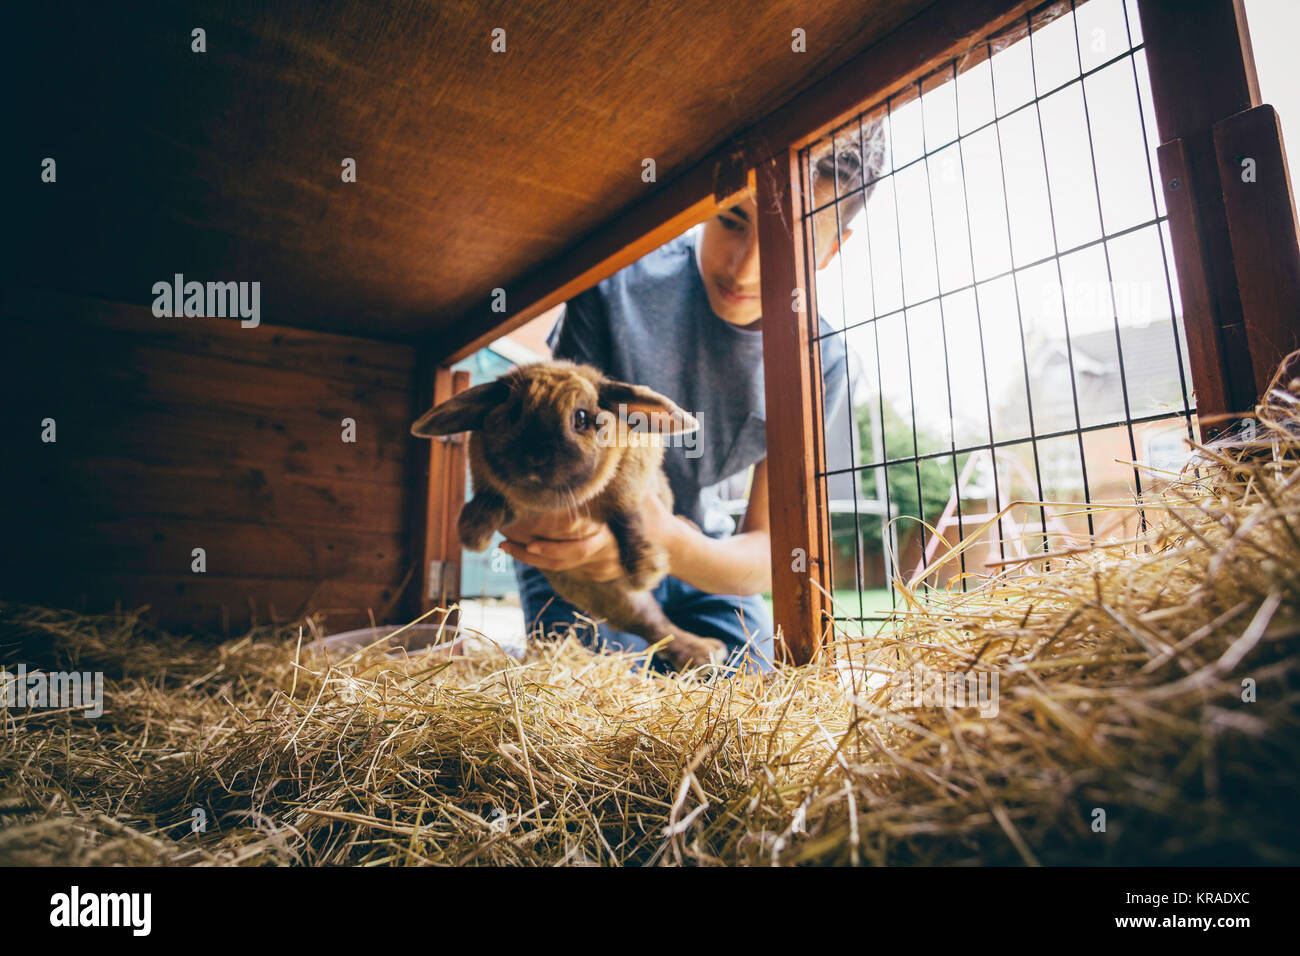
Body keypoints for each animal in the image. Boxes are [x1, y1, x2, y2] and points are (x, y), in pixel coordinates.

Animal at [411, 360, 729, 672]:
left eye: (581, 418)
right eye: (512, 413)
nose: (535, 457)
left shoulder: (633, 473)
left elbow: (626, 513)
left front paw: (644, 567)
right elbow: (491, 499)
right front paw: (473, 531)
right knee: (655, 626)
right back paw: (707, 654)